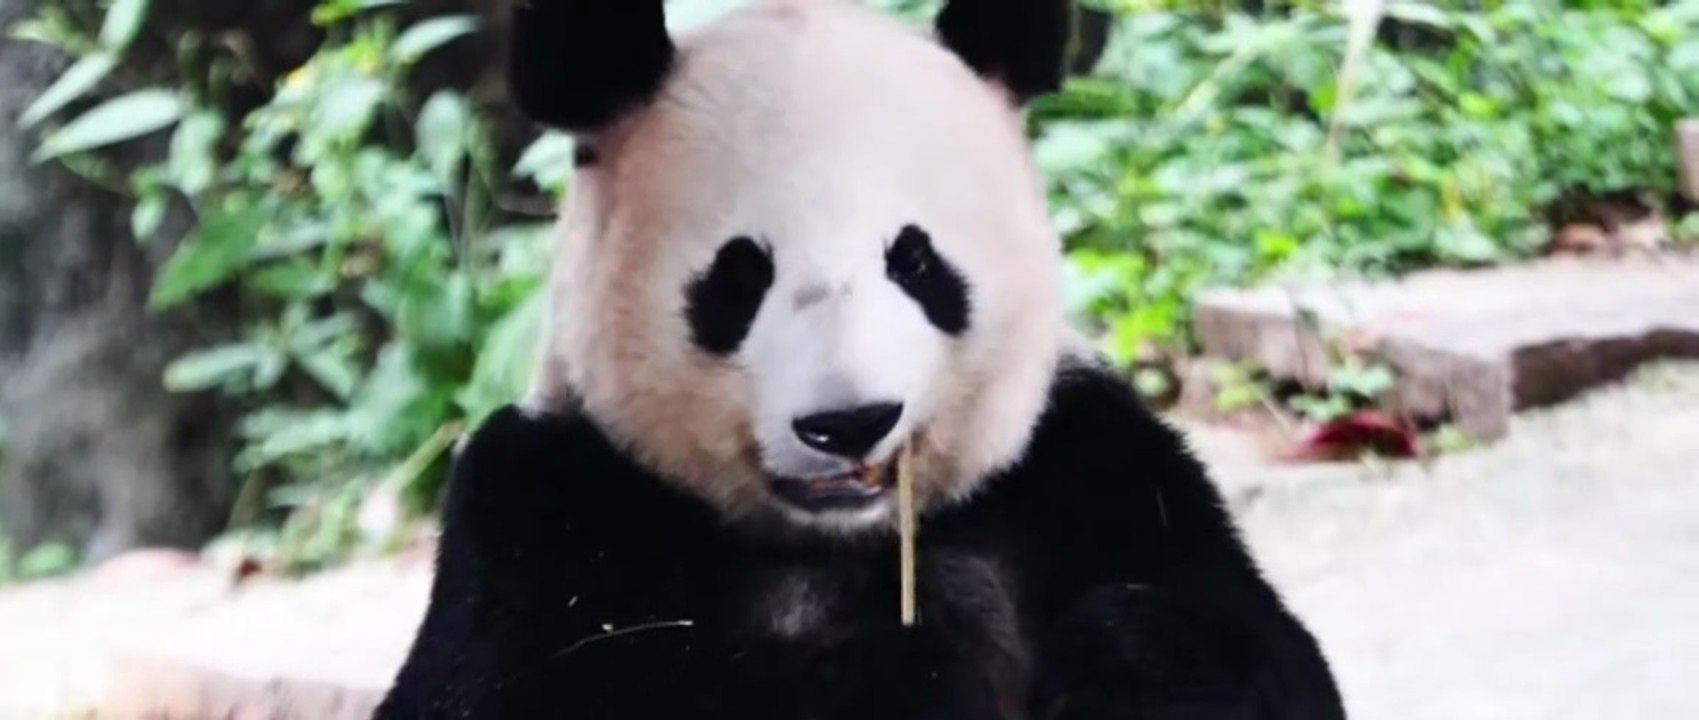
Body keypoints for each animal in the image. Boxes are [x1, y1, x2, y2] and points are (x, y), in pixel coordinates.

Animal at [376, 0, 1345, 718]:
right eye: (739, 277)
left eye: (915, 262)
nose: (848, 423)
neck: (843, 538)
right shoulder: (540, 510)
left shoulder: (1089, 460)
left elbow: (1255, 650)